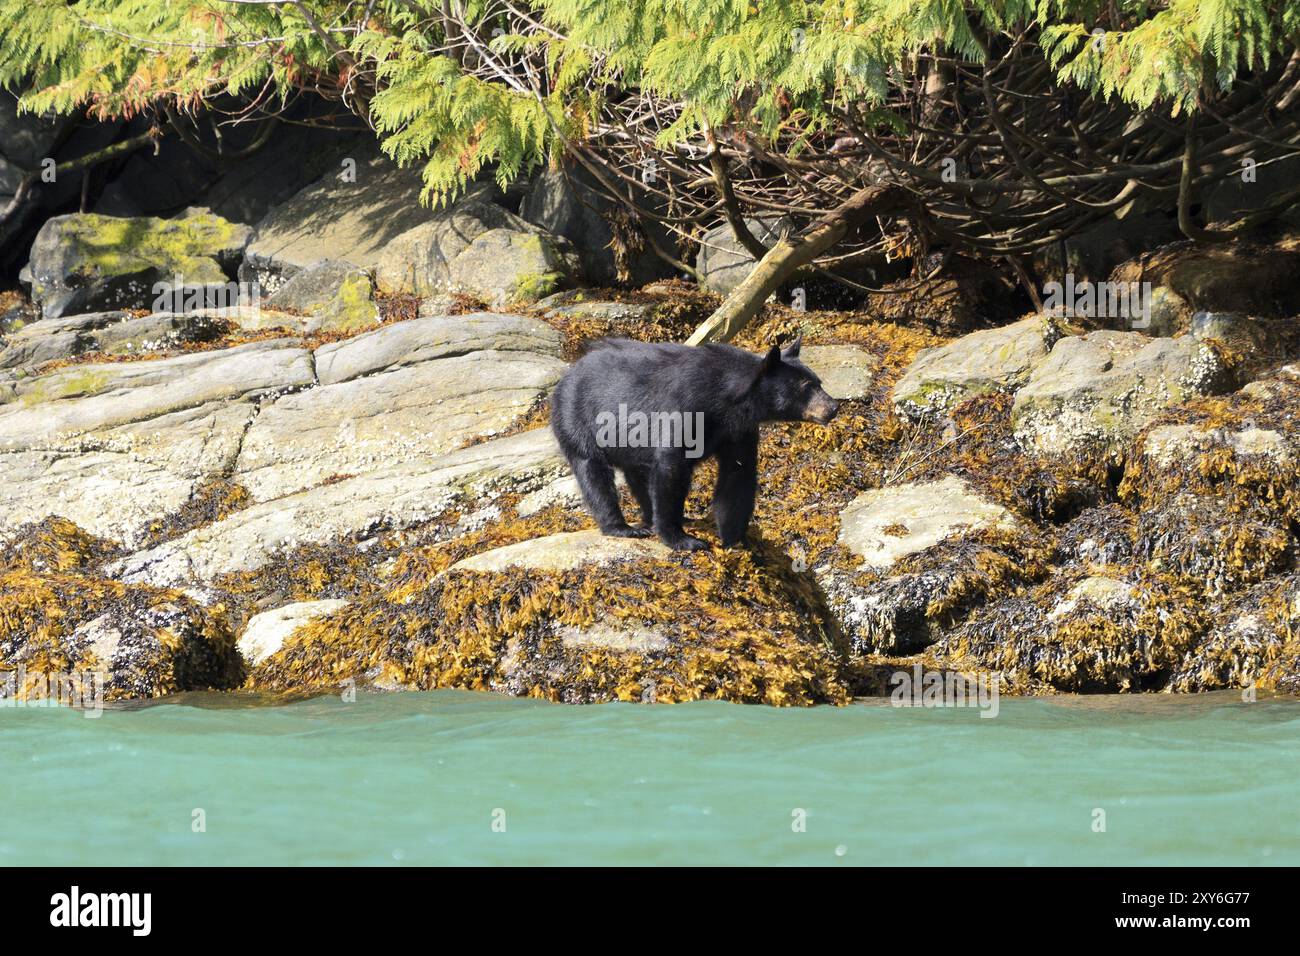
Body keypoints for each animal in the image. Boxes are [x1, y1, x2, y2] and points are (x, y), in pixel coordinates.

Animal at [549, 336, 839, 551]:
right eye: (807, 386)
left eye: (819, 382)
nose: (834, 407)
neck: (728, 400)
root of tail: (567, 375)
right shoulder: (686, 407)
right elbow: (672, 467)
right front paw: (682, 539)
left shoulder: (738, 429)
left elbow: (738, 472)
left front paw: (736, 540)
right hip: (578, 419)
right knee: (593, 472)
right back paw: (622, 528)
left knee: (638, 474)